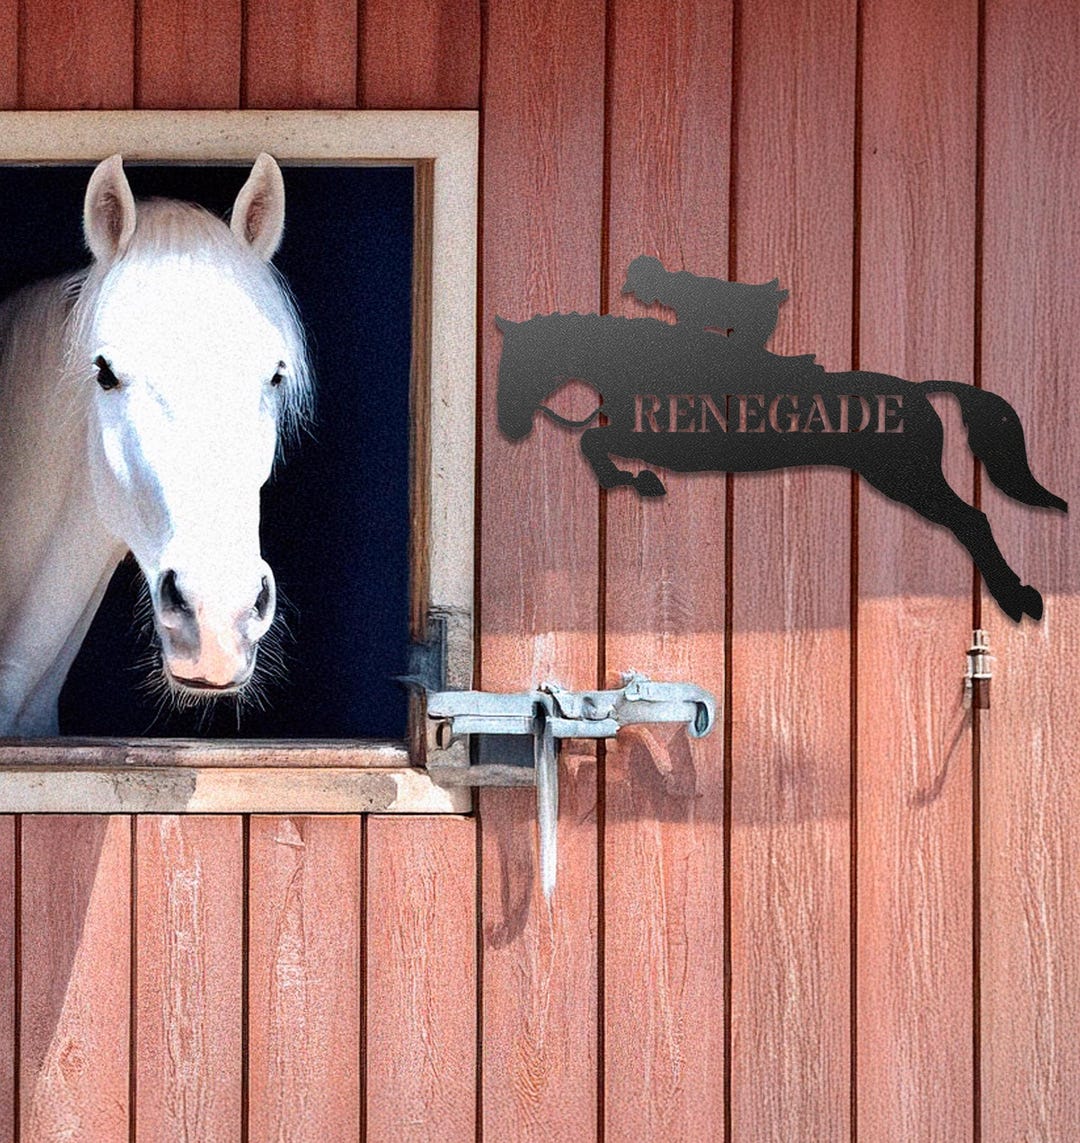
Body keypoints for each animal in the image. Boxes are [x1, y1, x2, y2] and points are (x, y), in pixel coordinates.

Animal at [495, 311, 1067, 623]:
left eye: (518, 363)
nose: (510, 426)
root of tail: (920, 391)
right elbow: (594, 438)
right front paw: (634, 479)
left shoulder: (669, 445)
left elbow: (594, 438)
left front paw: (636, 480)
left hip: (908, 480)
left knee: (973, 520)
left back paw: (1018, 598)